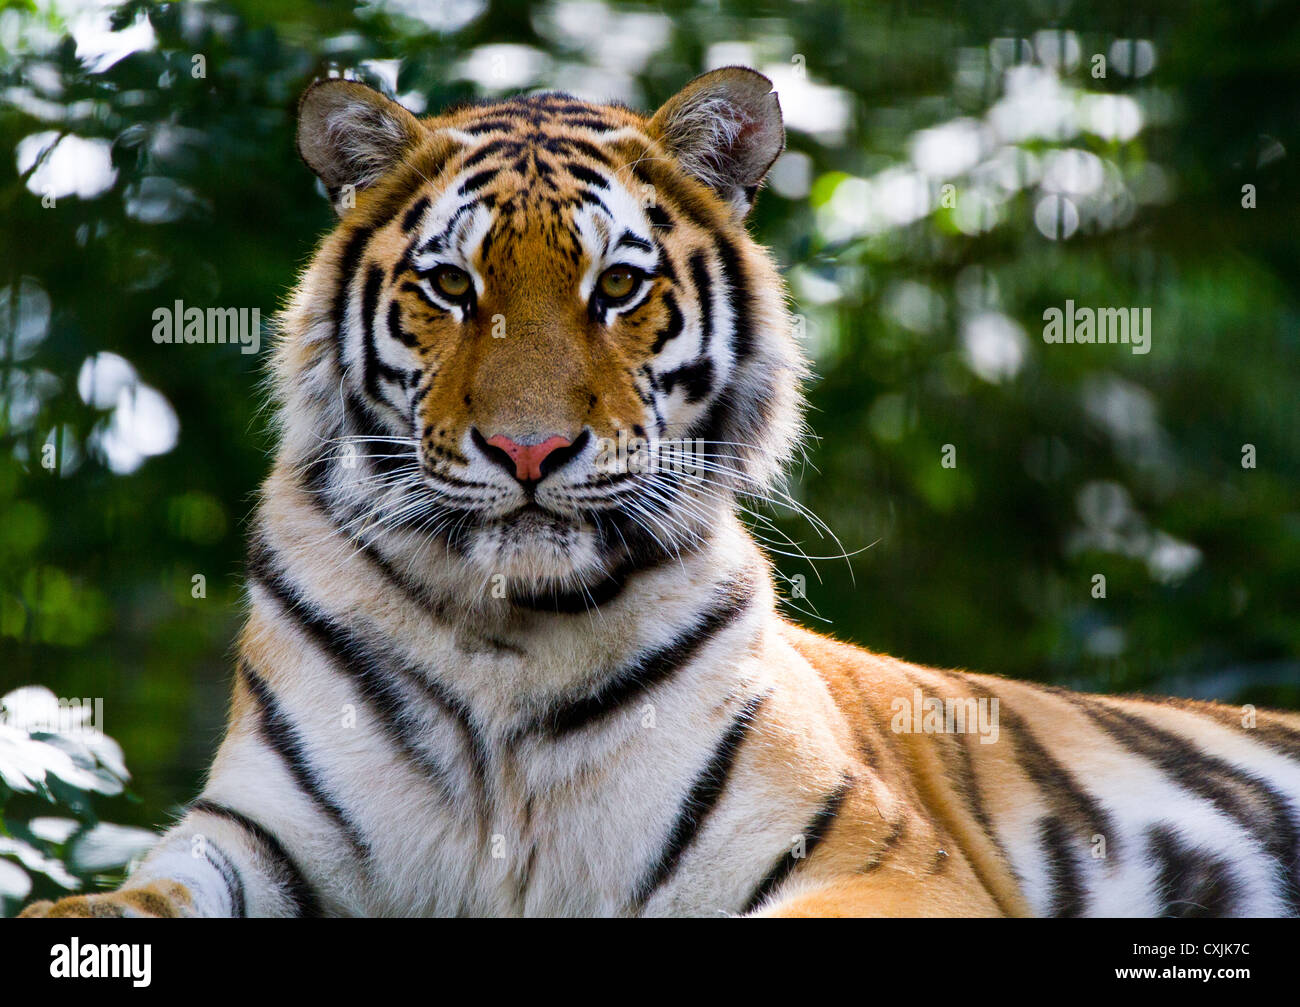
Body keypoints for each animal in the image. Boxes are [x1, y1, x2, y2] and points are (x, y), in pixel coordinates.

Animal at [21, 67, 1300, 919]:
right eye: (450, 285)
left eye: (618, 286)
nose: (528, 449)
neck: (508, 636)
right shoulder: (256, 838)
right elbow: (101, 907)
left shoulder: (867, 858)